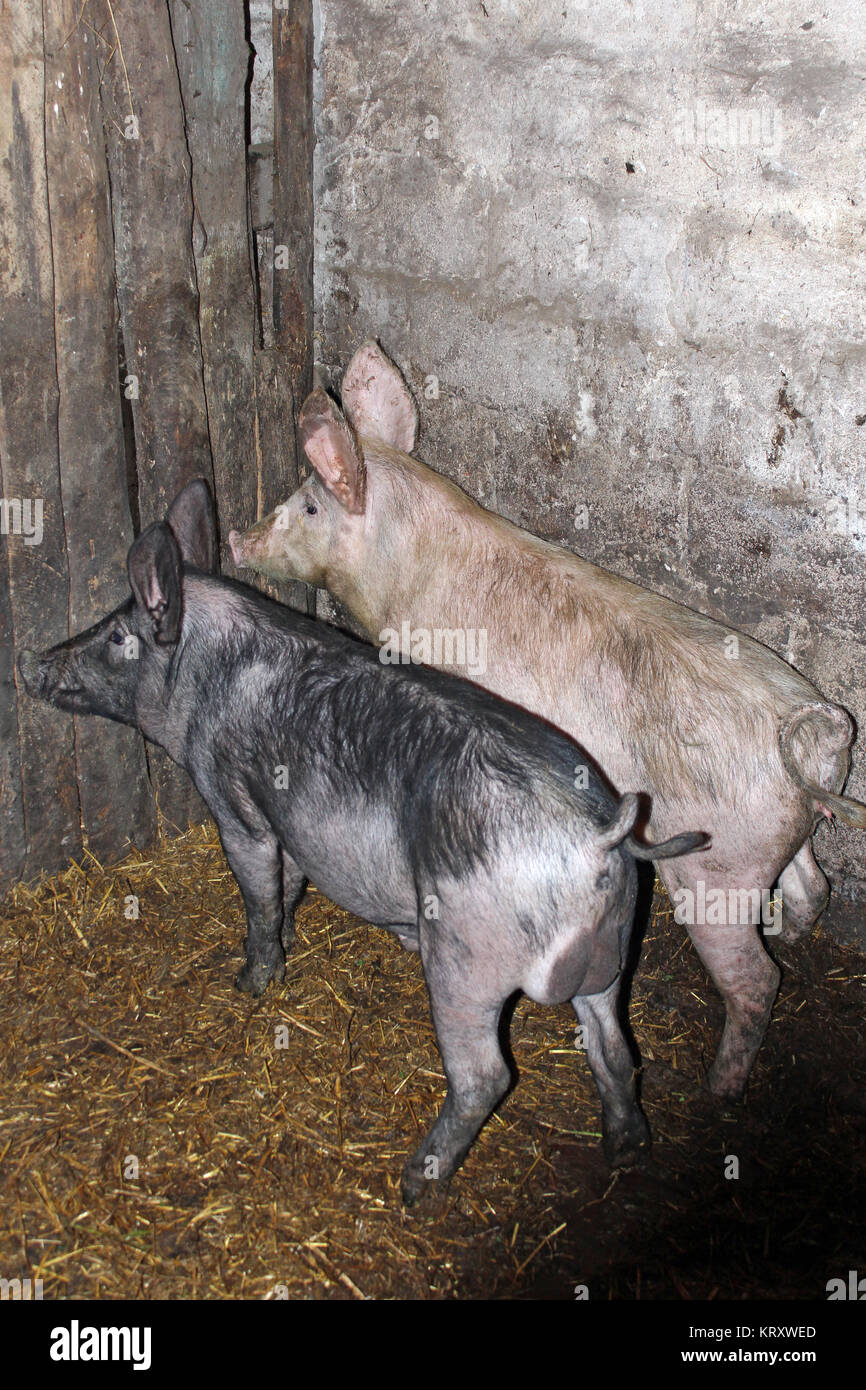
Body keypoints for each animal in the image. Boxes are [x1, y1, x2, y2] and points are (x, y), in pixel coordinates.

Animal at [19, 479, 706, 1204]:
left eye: (117, 634)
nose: (30, 661)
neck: (204, 675)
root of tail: (600, 838)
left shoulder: (234, 800)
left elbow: (258, 893)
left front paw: (250, 983)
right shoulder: (291, 825)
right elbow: (290, 885)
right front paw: (286, 941)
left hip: (466, 954)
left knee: (487, 1075)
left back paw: (414, 1183)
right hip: (613, 949)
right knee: (615, 1047)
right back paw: (627, 1151)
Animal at [229, 340, 866, 1105]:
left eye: (308, 502)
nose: (234, 536)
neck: (397, 572)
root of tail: (808, 726)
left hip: (718, 867)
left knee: (755, 979)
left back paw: (718, 1089)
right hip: (779, 837)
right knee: (813, 889)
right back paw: (793, 942)